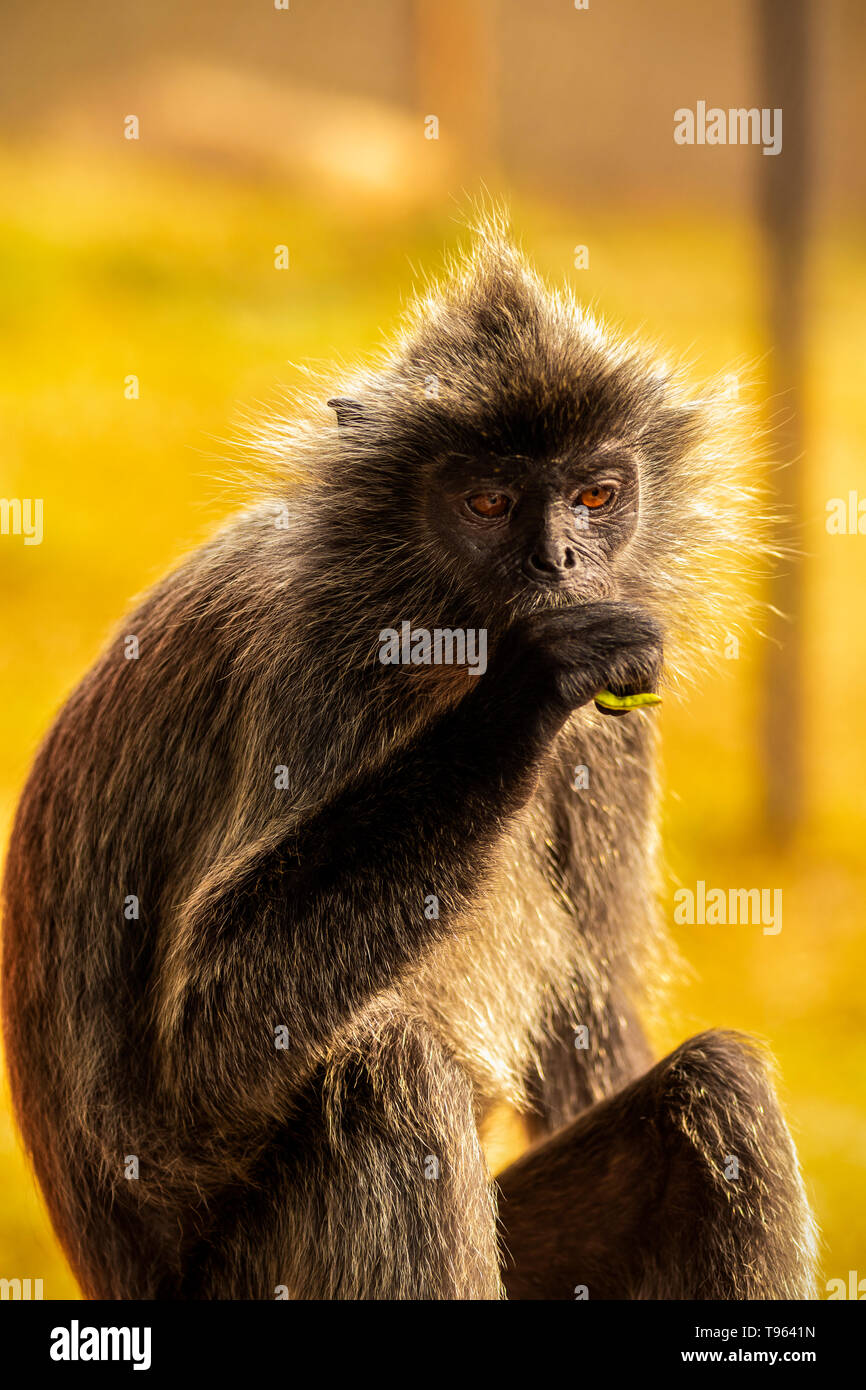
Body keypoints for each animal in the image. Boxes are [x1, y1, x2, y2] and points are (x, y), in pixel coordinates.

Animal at [1, 218, 817, 1300]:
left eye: (596, 495)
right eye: (488, 502)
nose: (560, 563)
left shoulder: (617, 727)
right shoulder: (301, 661)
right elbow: (206, 1038)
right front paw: (528, 688)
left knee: (714, 1085)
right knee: (388, 1066)